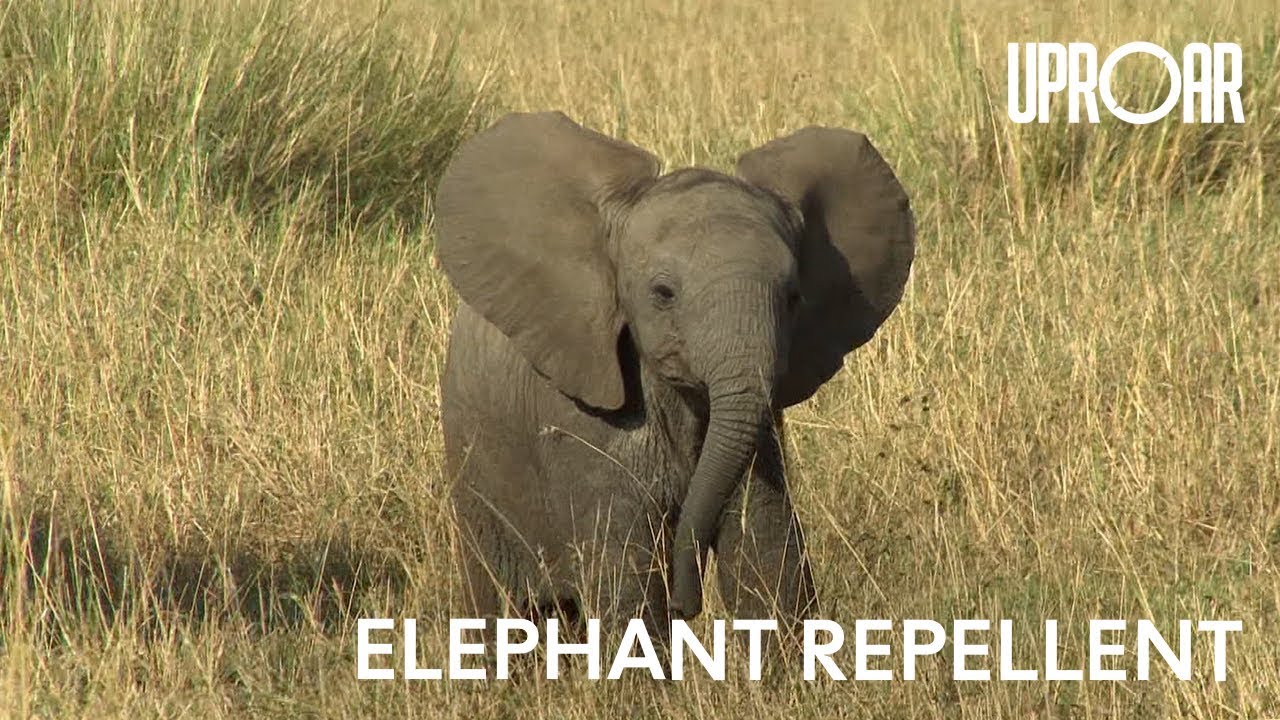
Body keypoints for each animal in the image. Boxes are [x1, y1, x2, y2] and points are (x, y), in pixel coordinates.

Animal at [435, 111, 914, 639]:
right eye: (662, 294)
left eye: (793, 298)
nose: (690, 604)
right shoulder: (580, 421)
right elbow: (626, 573)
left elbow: (769, 553)